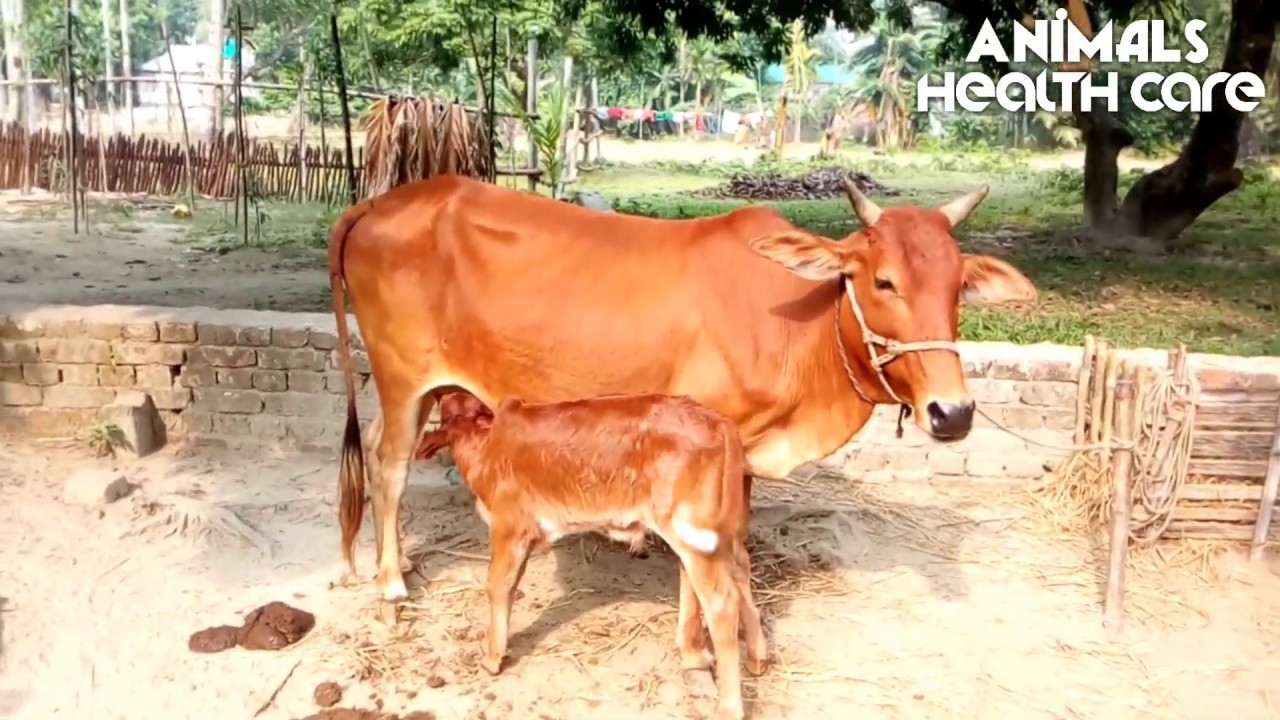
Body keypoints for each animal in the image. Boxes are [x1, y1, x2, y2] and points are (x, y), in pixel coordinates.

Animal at [327, 173, 1037, 606]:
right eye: (883, 280)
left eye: (958, 287)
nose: (952, 413)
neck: (797, 316)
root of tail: (378, 202)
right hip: (402, 377)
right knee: (389, 466)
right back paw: (390, 582)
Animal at [414, 390, 765, 720]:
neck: (485, 446)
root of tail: (719, 422)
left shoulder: (508, 527)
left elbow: (498, 586)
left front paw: (491, 657)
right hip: (718, 535)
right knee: (741, 571)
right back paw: (757, 657)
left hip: (692, 532)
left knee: (722, 603)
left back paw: (729, 706)